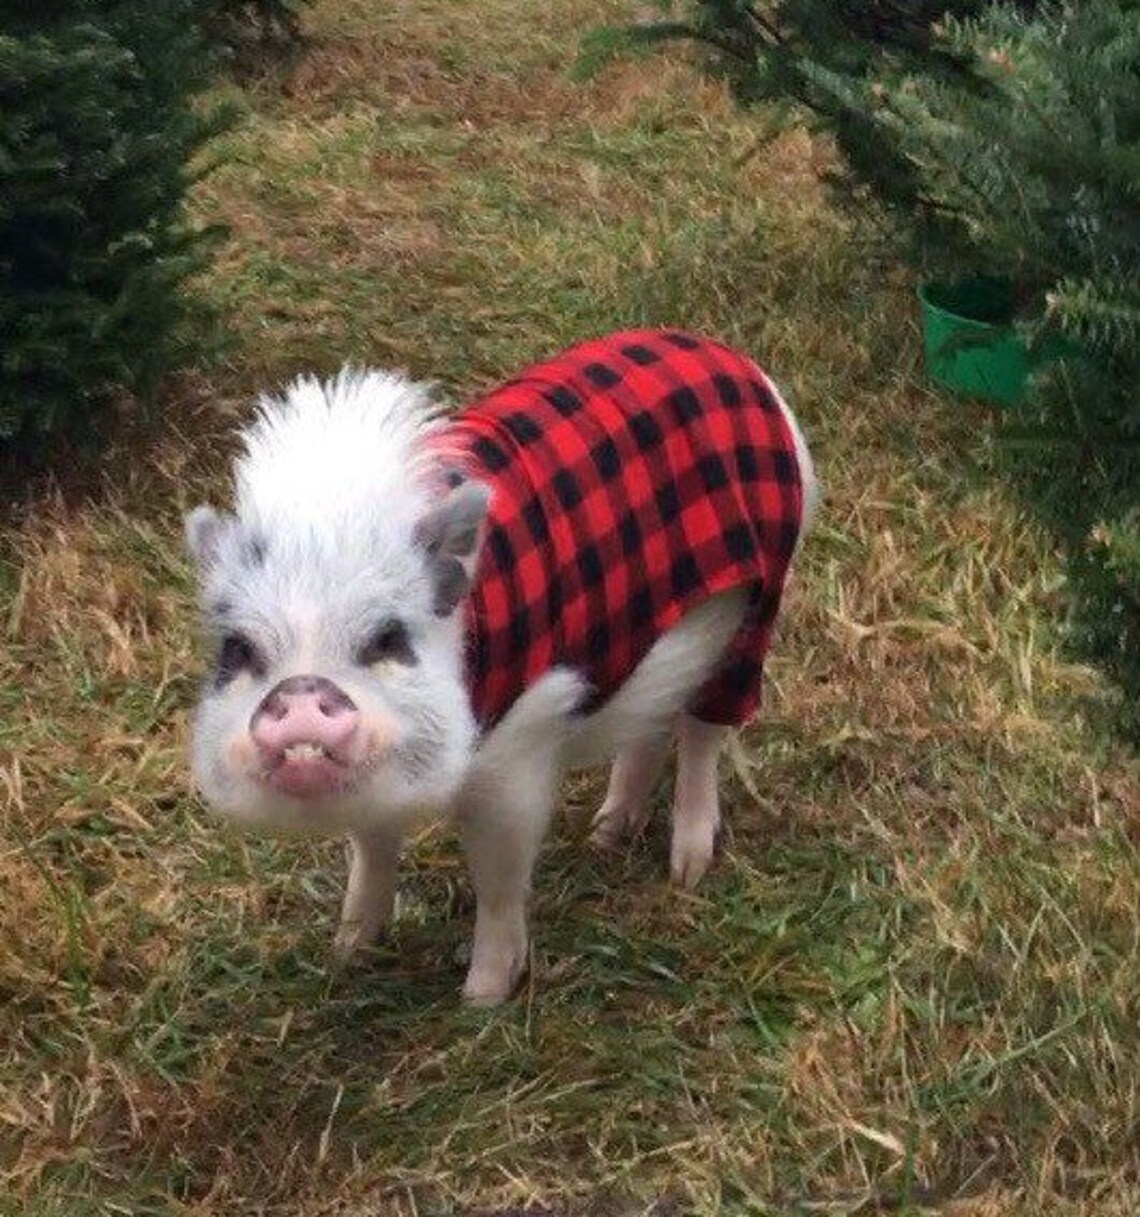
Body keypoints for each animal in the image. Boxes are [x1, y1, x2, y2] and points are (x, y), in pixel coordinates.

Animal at [185, 329, 818, 1004]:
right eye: (240, 651)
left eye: (387, 639)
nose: (302, 691)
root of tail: (736, 362)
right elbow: (371, 850)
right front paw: (347, 953)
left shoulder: (517, 752)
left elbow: (498, 877)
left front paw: (481, 999)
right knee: (649, 723)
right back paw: (605, 835)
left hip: (759, 605)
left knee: (702, 733)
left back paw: (686, 873)